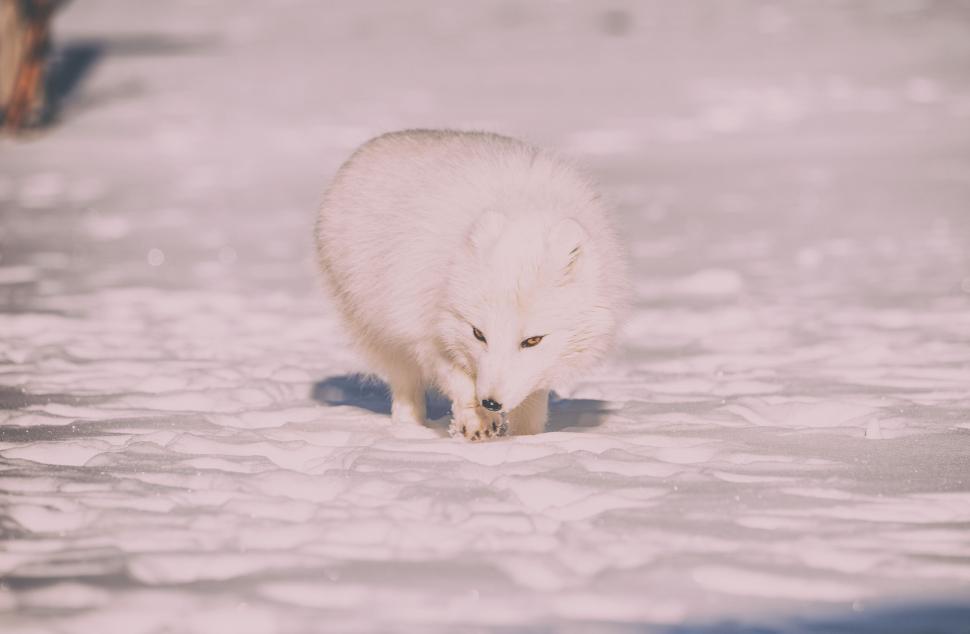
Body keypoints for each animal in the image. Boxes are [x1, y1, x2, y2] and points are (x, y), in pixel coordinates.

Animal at [315, 130, 627, 441]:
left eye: (533, 340)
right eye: (478, 334)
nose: (491, 402)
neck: (523, 210)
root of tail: (371, 145)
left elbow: (531, 405)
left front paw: (525, 440)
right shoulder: (427, 332)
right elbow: (459, 382)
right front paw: (477, 420)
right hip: (383, 335)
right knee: (406, 388)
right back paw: (408, 431)